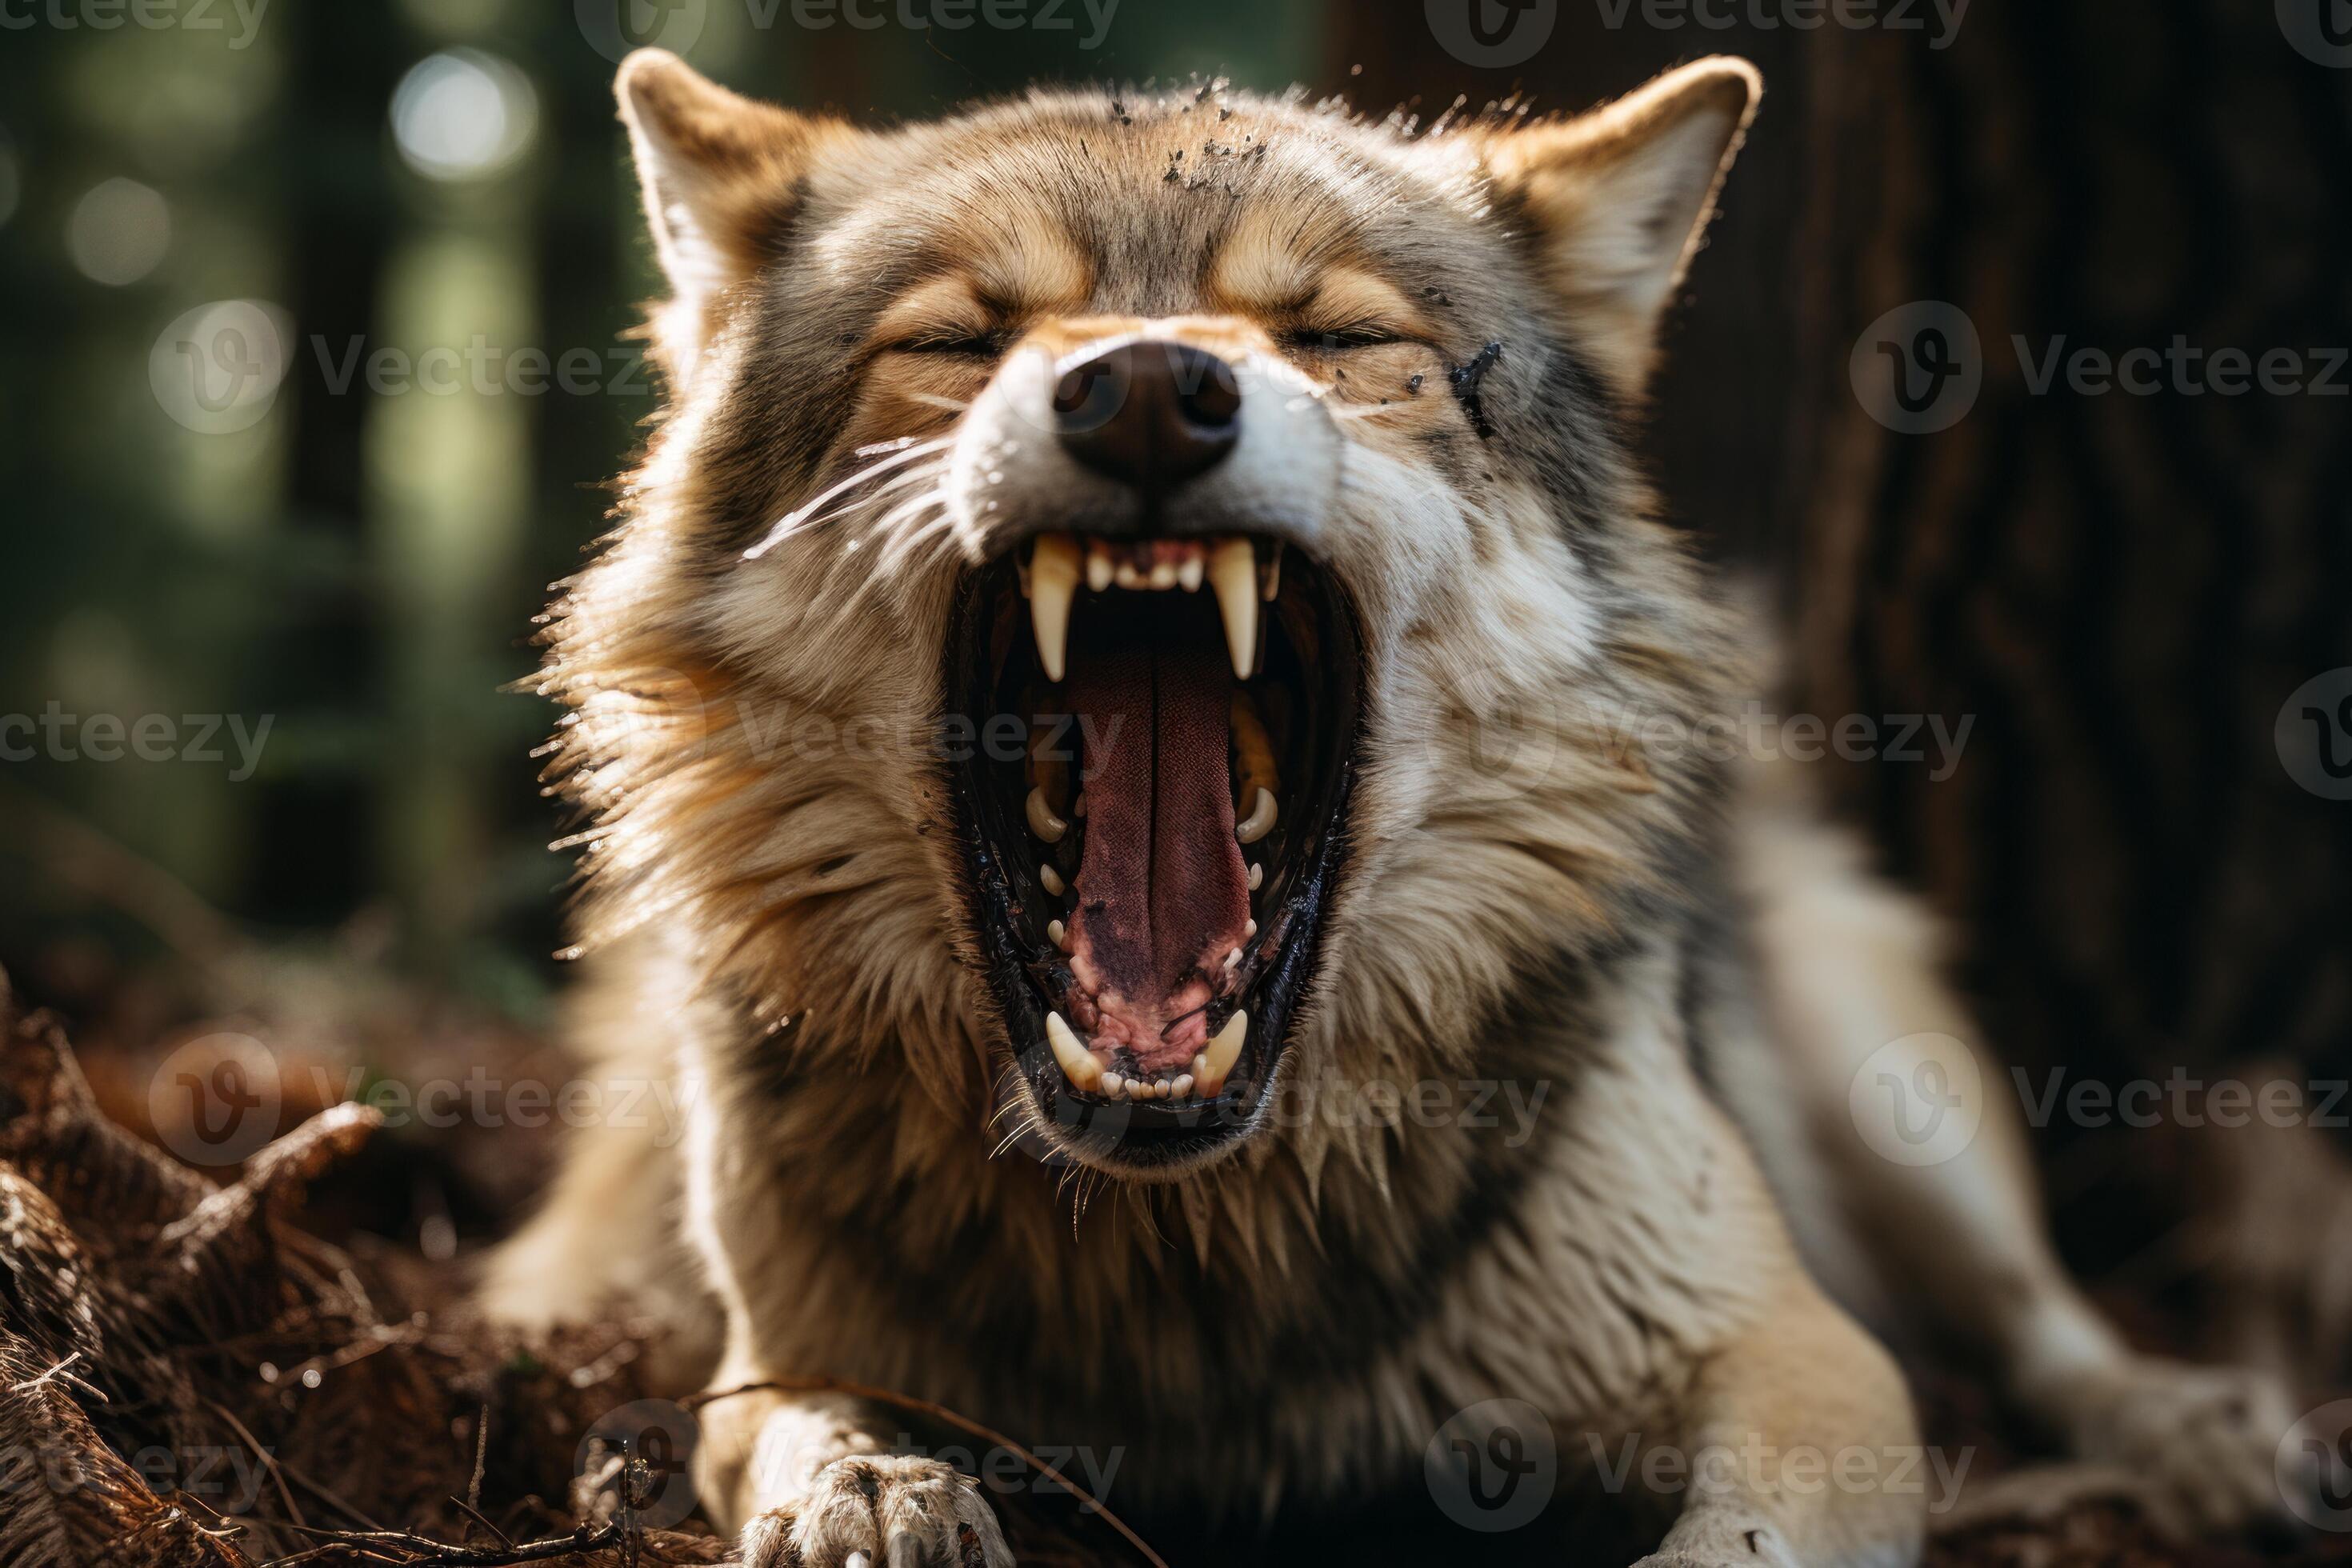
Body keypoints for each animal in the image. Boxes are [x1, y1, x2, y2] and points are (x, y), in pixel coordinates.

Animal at [483, 49, 2302, 1567]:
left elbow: (1754, 1522)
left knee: (2044, 1320)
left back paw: (2211, 1436)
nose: (1148, 388)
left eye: (1341, 341)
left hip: (1891, 1086)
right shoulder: (780, 1346)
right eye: (959, 340)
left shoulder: (1798, 1356)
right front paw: (873, 1489)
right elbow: (798, 1420)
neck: (1191, 1226)